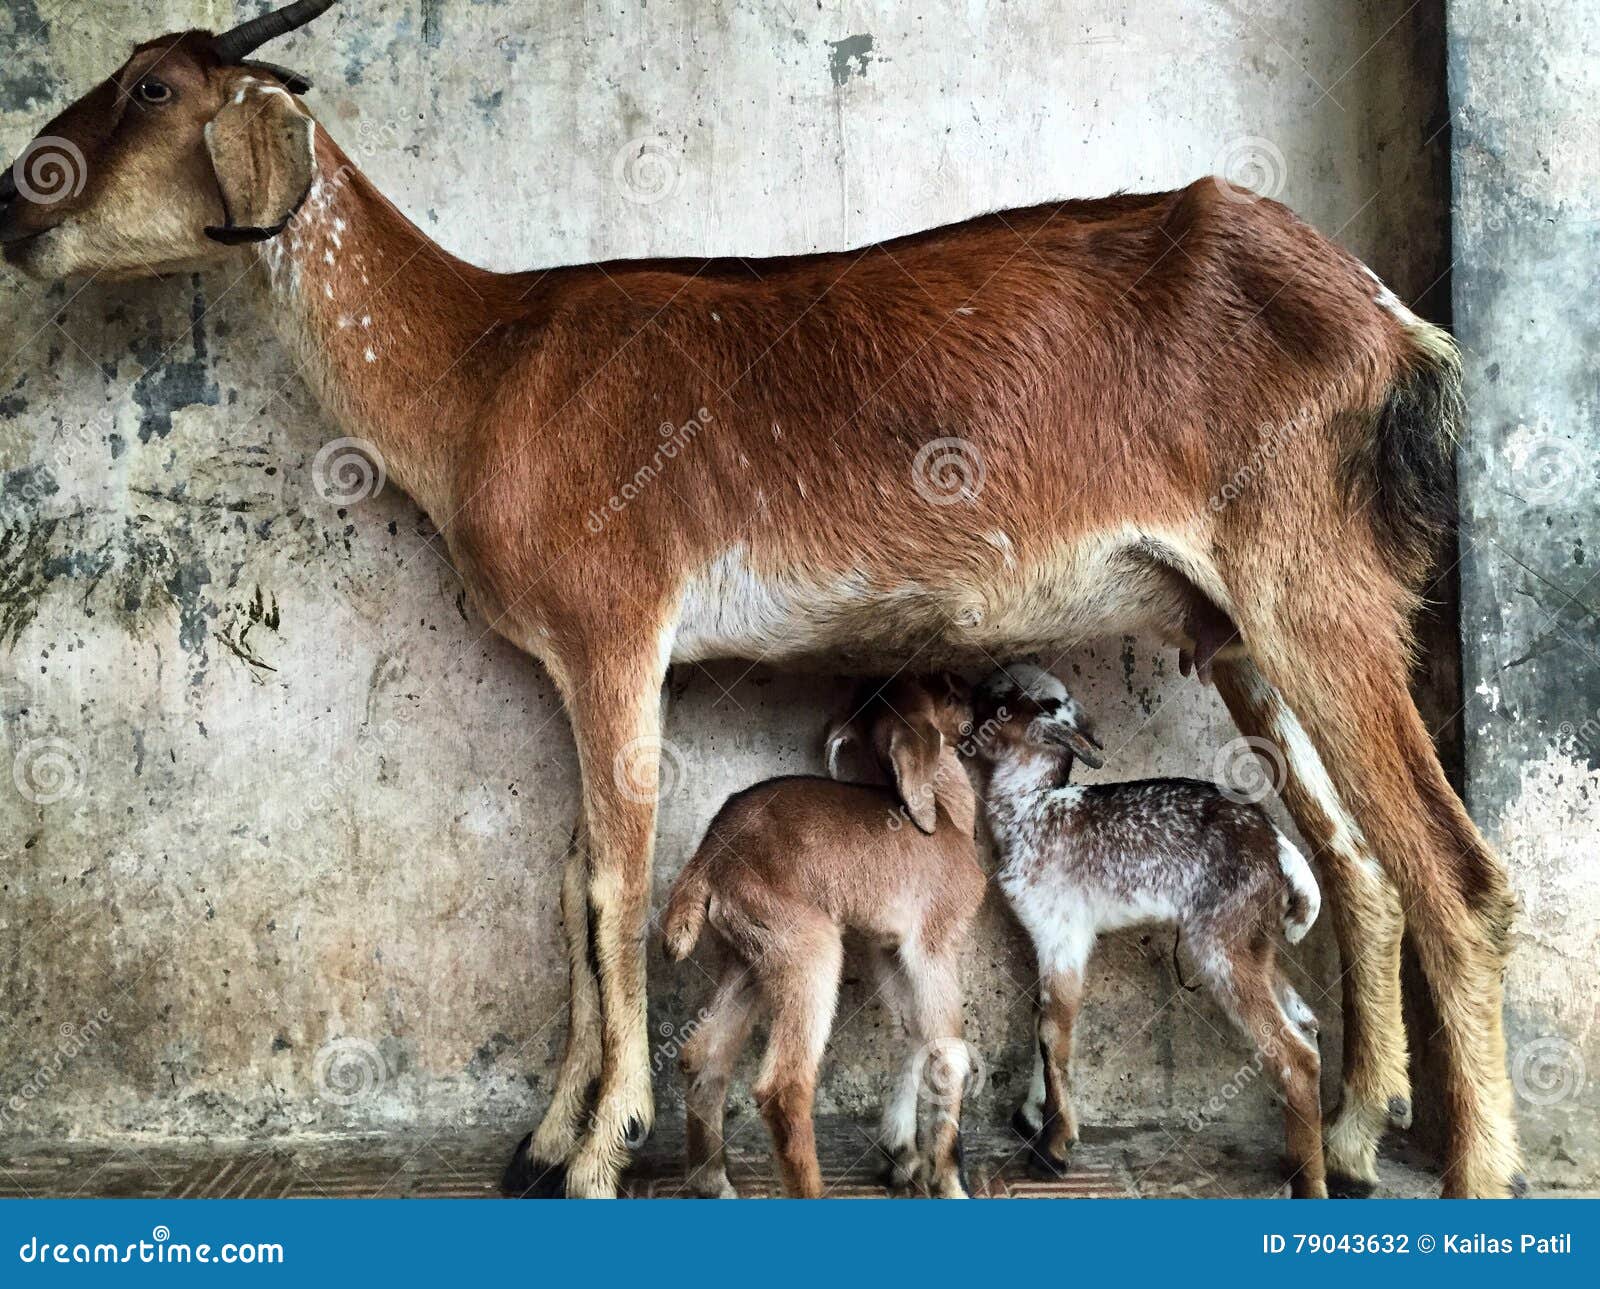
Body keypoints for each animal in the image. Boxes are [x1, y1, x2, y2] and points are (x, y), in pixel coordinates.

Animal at [662, 676, 985, 1198]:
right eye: (949, 696)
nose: (977, 704)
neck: (945, 816)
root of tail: (709, 859)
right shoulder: (934, 942)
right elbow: (946, 1055)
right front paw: (949, 1180)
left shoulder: (888, 949)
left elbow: (910, 1036)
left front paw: (902, 1157)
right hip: (808, 947)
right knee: (784, 1084)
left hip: (751, 953)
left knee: (702, 1054)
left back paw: (713, 1180)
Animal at [971, 665, 1327, 1197]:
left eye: (999, 705)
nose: (963, 719)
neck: (1033, 808)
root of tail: (1276, 843)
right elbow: (1044, 1021)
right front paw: (1032, 1118)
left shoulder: (1061, 933)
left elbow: (1052, 1030)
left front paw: (1053, 1149)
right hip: (1255, 943)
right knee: (1306, 1023)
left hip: (1219, 944)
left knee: (1295, 1056)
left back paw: (1311, 1183)